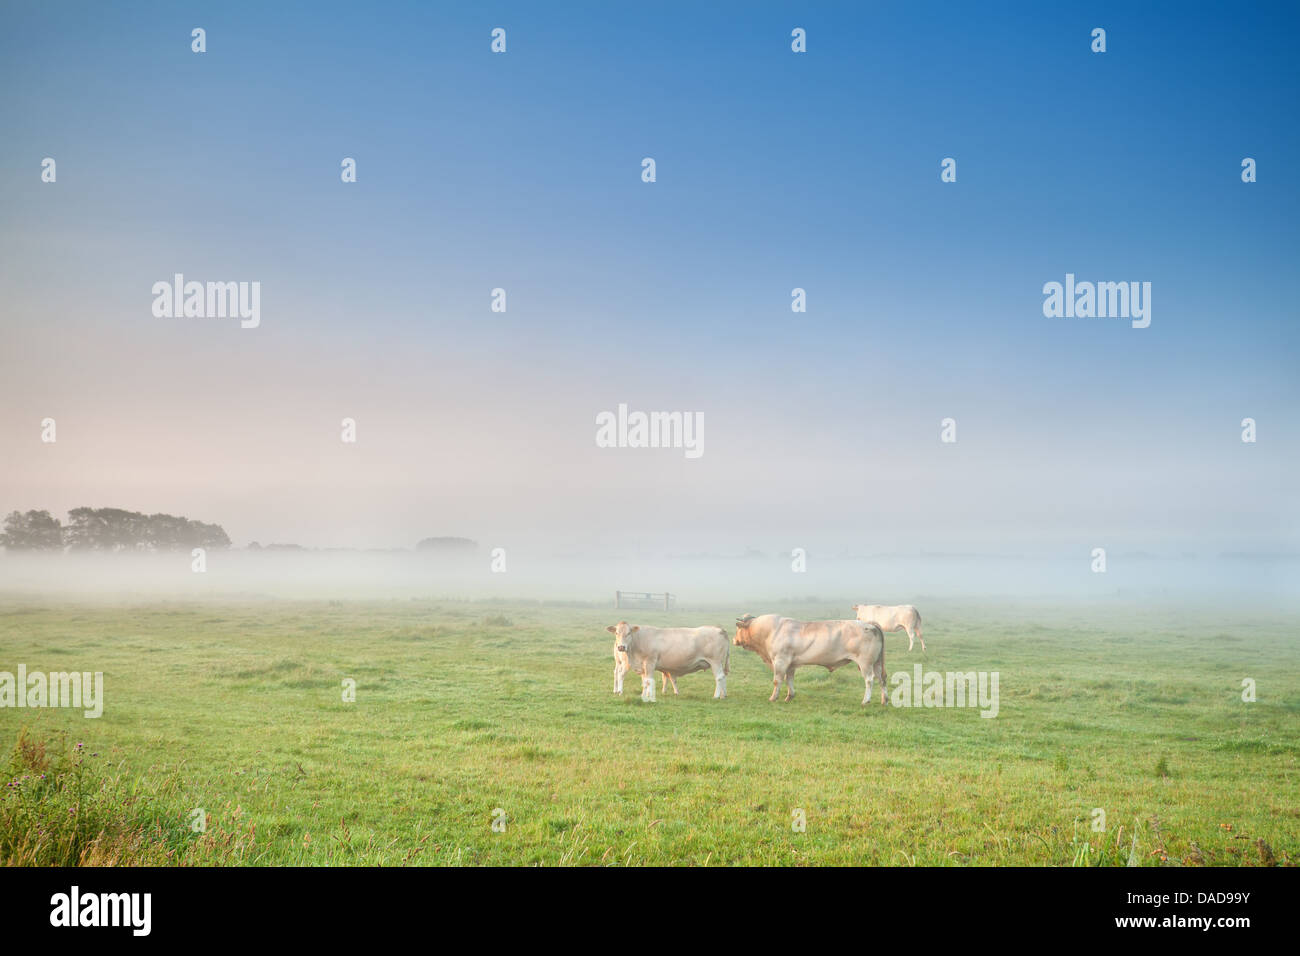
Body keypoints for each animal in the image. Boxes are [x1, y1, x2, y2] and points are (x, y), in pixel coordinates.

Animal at [732, 614, 887, 705]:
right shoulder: (791, 664)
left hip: (865, 663)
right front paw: (790, 696)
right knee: (882, 679)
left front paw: (773, 698)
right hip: (877, 663)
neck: (770, 631)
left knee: (869, 680)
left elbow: (777, 680)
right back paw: (884, 700)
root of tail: (870, 624)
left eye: (738, 629)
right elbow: (789, 680)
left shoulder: (780, 660)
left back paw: (865, 701)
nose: (734, 640)